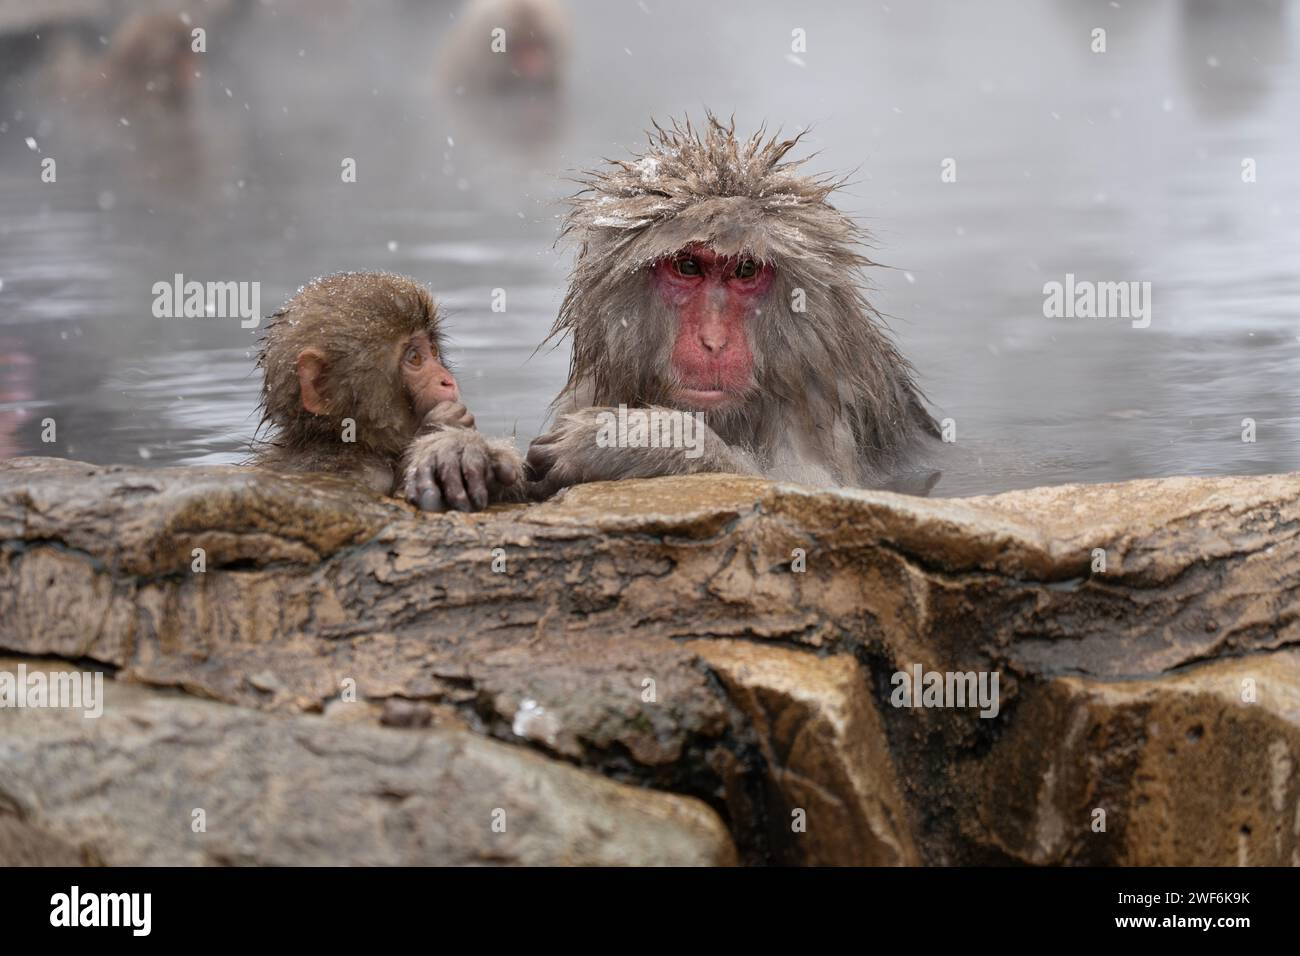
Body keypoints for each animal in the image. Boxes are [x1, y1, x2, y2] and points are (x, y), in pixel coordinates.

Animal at [253, 272, 524, 513]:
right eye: (414, 358)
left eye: (433, 350)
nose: (447, 381)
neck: (345, 443)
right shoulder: (348, 470)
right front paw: (449, 442)